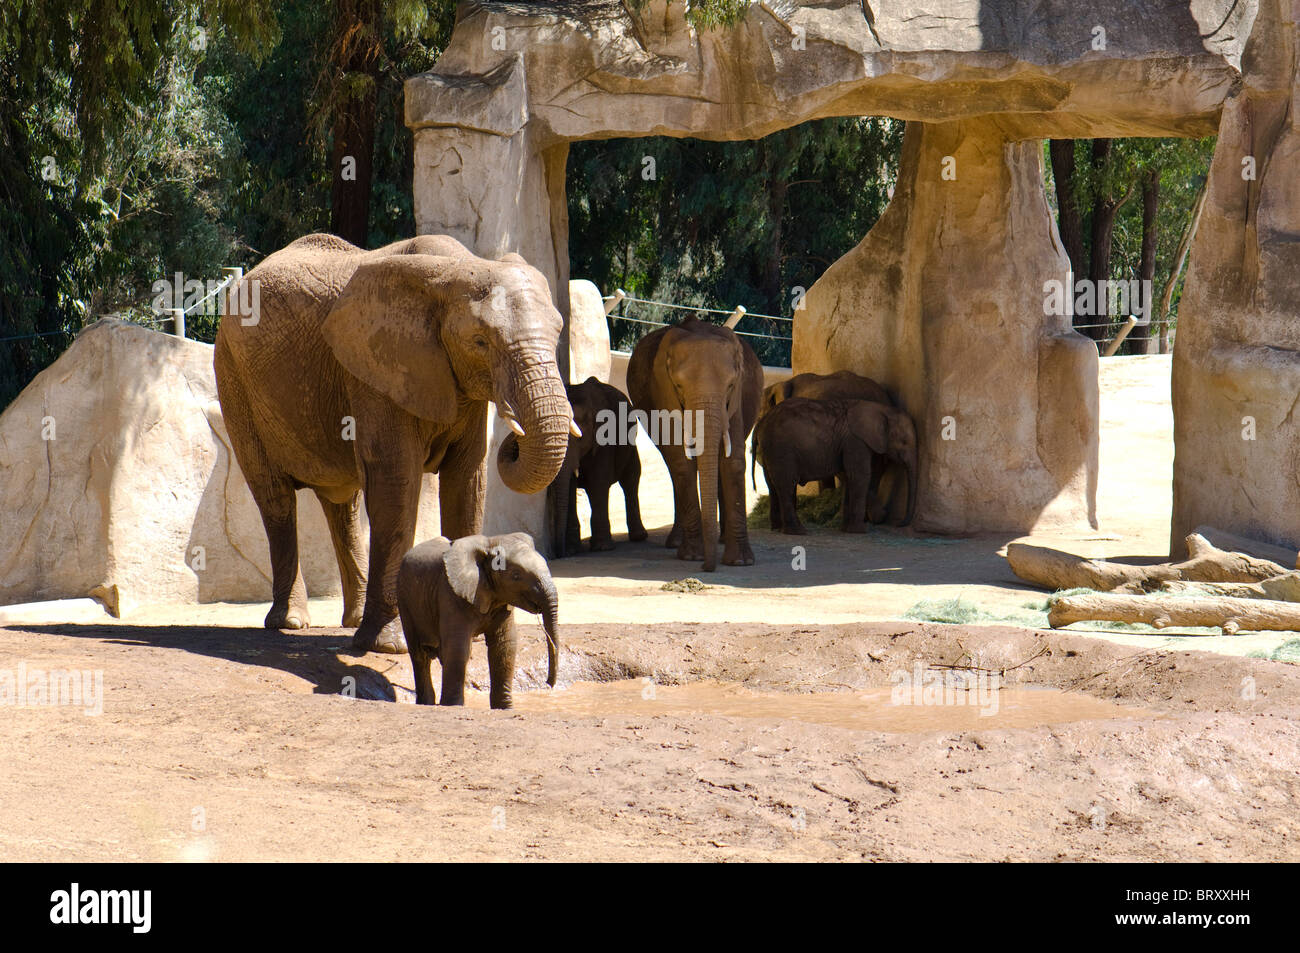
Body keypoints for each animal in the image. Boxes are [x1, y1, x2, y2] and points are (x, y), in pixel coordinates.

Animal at [214, 233, 575, 655]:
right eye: (480, 341)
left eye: (558, 332)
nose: (514, 440)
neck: (458, 269)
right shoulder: (375, 370)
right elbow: (396, 483)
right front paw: (389, 646)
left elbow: (467, 482)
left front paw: (464, 625)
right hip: (233, 375)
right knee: (275, 498)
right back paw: (290, 623)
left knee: (343, 504)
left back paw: (351, 621)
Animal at [396, 533, 559, 710]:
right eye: (516, 576)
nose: (548, 683)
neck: (490, 544)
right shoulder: (450, 594)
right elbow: (458, 648)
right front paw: (453, 707)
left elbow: (504, 646)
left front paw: (505, 708)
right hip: (405, 601)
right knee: (420, 655)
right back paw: (426, 703)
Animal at [551, 377, 647, 557]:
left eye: (580, 438)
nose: (561, 554)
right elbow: (570, 486)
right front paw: (572, 549)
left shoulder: (604, 439)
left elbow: (598, 482)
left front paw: (602, 547)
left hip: (630, 444)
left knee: (631, 478)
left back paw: (639, 537)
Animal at [627, 316, 763, 571]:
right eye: (679, 386)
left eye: (730, 386)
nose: (707, 567)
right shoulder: (663, 391)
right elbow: (681, 459)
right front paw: (692, 556)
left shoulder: (736, 399)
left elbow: (733, 460)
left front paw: (741, 562)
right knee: (674, 467)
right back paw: (678, 542)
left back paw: (721, 539)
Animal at [754, 397, 918, 534]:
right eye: (904, 442)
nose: (899, 524)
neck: (881, 409)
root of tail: (761, 423)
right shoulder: (855, 441)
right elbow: (860, 476)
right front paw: (859, 531)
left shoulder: (847, 444)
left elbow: (848, 478)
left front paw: (845, 530)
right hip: (781, 448)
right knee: (787, 484)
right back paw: (798, 531)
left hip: (770, 449)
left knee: (773, 486)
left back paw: (777, 528)